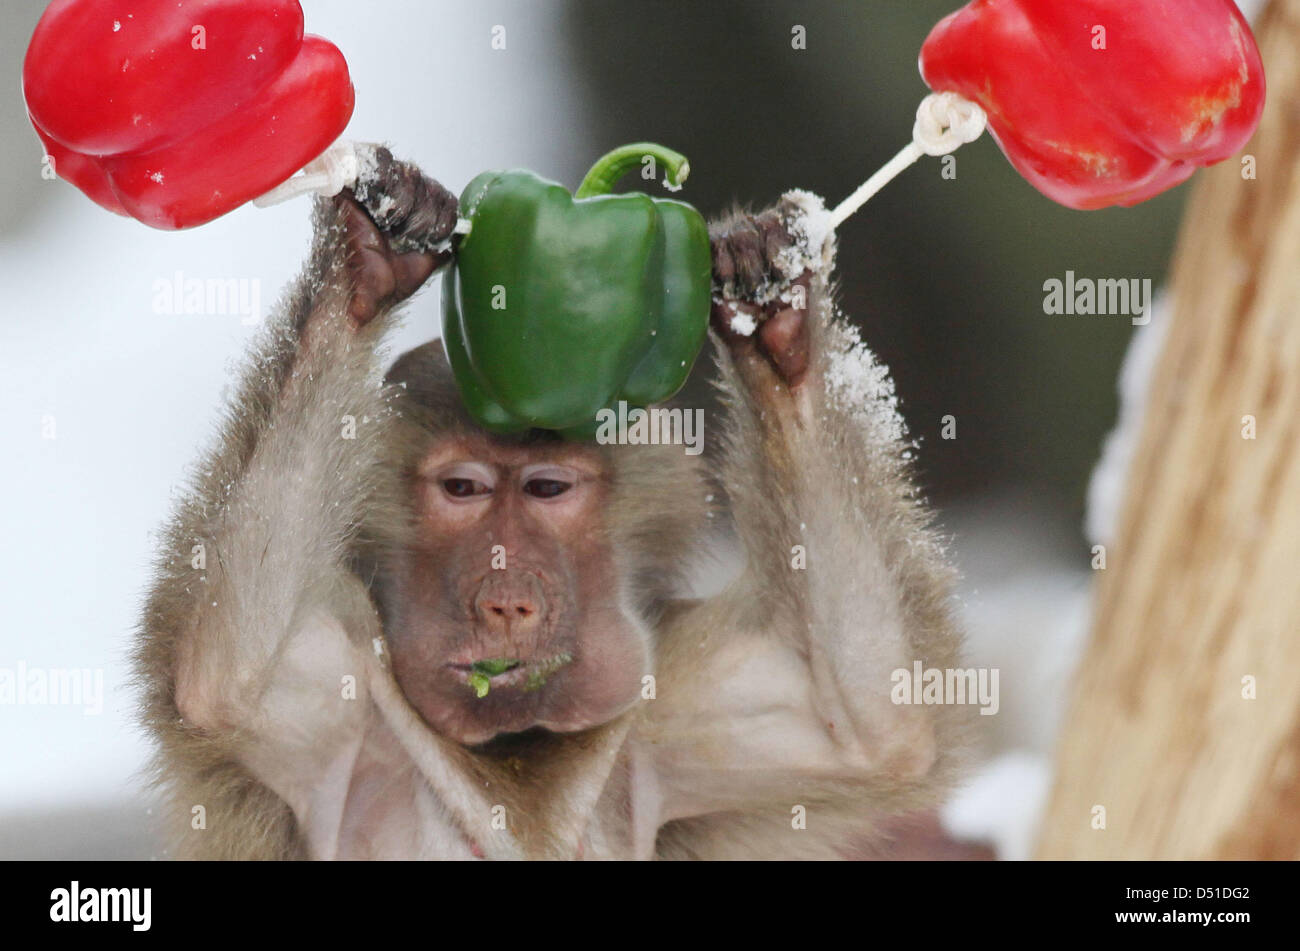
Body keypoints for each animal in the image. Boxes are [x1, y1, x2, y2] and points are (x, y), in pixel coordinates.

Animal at [134, 145, 969, 860]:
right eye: (463, 489)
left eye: (547, 488)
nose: (507, 602)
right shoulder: (331, 685)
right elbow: (223, 679)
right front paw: (370, 251)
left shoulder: (665, 706)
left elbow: (875, 723)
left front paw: (770, 301)